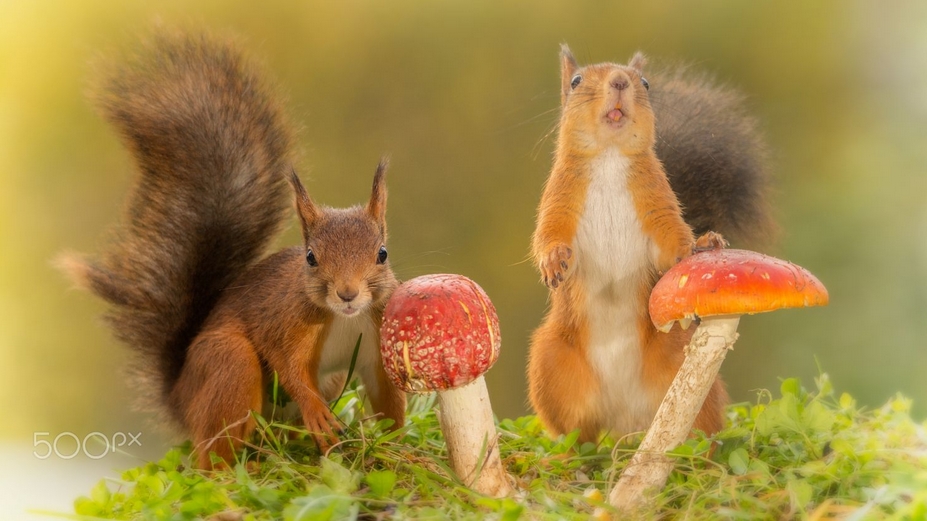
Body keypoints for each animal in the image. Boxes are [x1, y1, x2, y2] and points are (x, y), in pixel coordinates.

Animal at [60, 31, 406, 469]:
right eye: (311, 258)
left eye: (382, 254)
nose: (347, 293)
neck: (345, 318)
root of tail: (181, 396)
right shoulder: (284, 322)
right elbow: (289, 367)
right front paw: (316, 412)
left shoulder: (378, 341)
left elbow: (388, 398)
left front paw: (397, 444)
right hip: (228, 363)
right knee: (214, 451)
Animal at [527, 45, 774, 443]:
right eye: (577, 81)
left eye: (644, 82)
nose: (619, 81)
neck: (609, 157)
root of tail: (623, 419)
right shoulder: (557, 201)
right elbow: (548, 236)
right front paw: (553, 260)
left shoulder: (657, 203)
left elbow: (670, 245)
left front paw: (699, 244)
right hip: (549, 367)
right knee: (575, 434)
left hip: (680, 365)